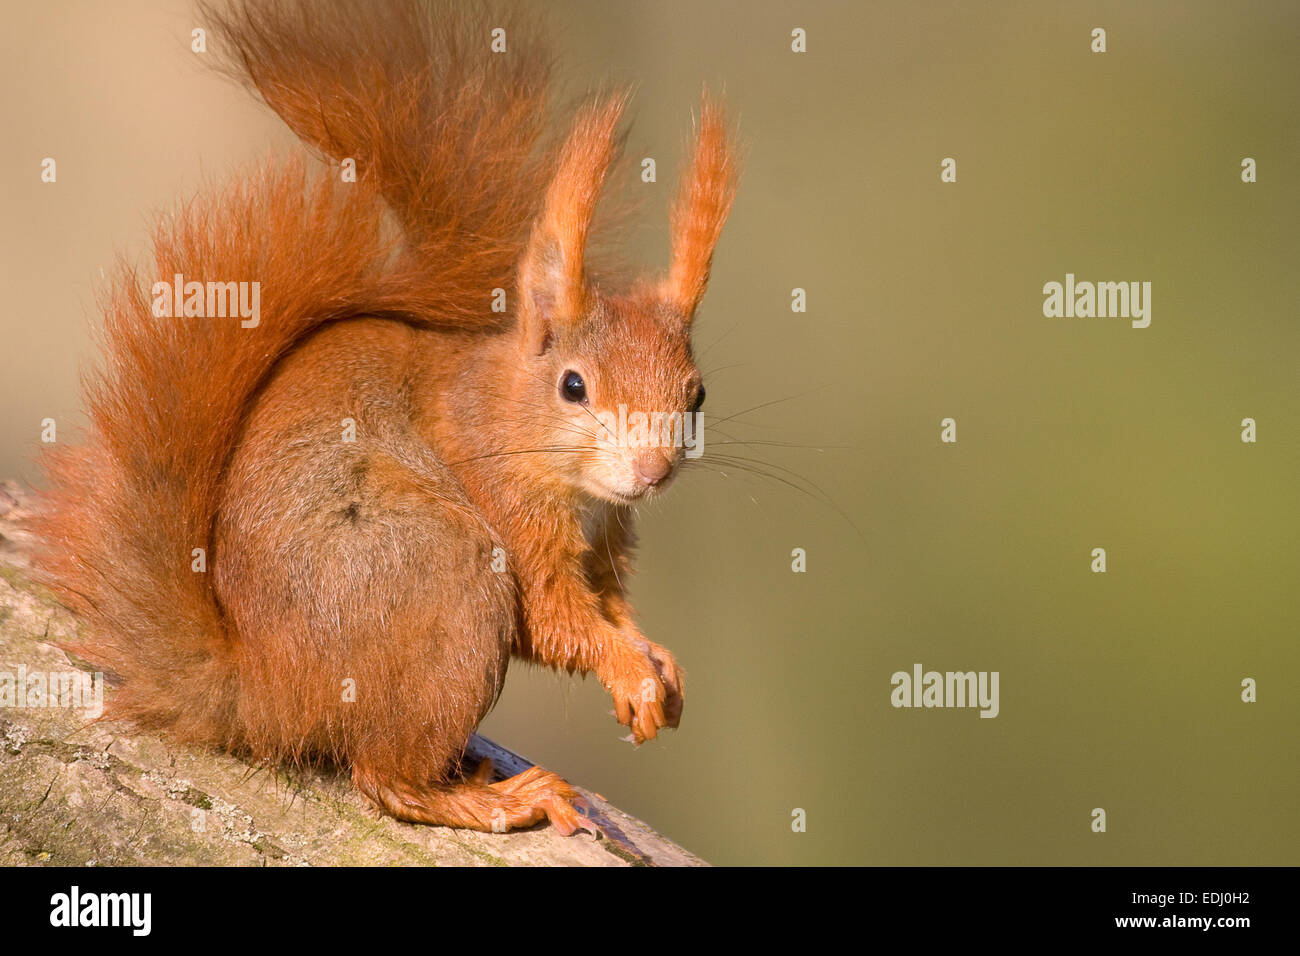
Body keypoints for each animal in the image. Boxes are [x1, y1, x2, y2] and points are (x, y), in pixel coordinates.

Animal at [27, 0, 737, 834]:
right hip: (448, 578)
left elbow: (611, 609)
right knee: (386, 780)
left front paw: (658, 660)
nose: (652, 472)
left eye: (696, 395)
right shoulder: (510, 510)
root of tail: (264, 690)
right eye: (573, 386)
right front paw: (627, 666)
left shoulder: (606, 542)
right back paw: (500, 798)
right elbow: (558, 623)